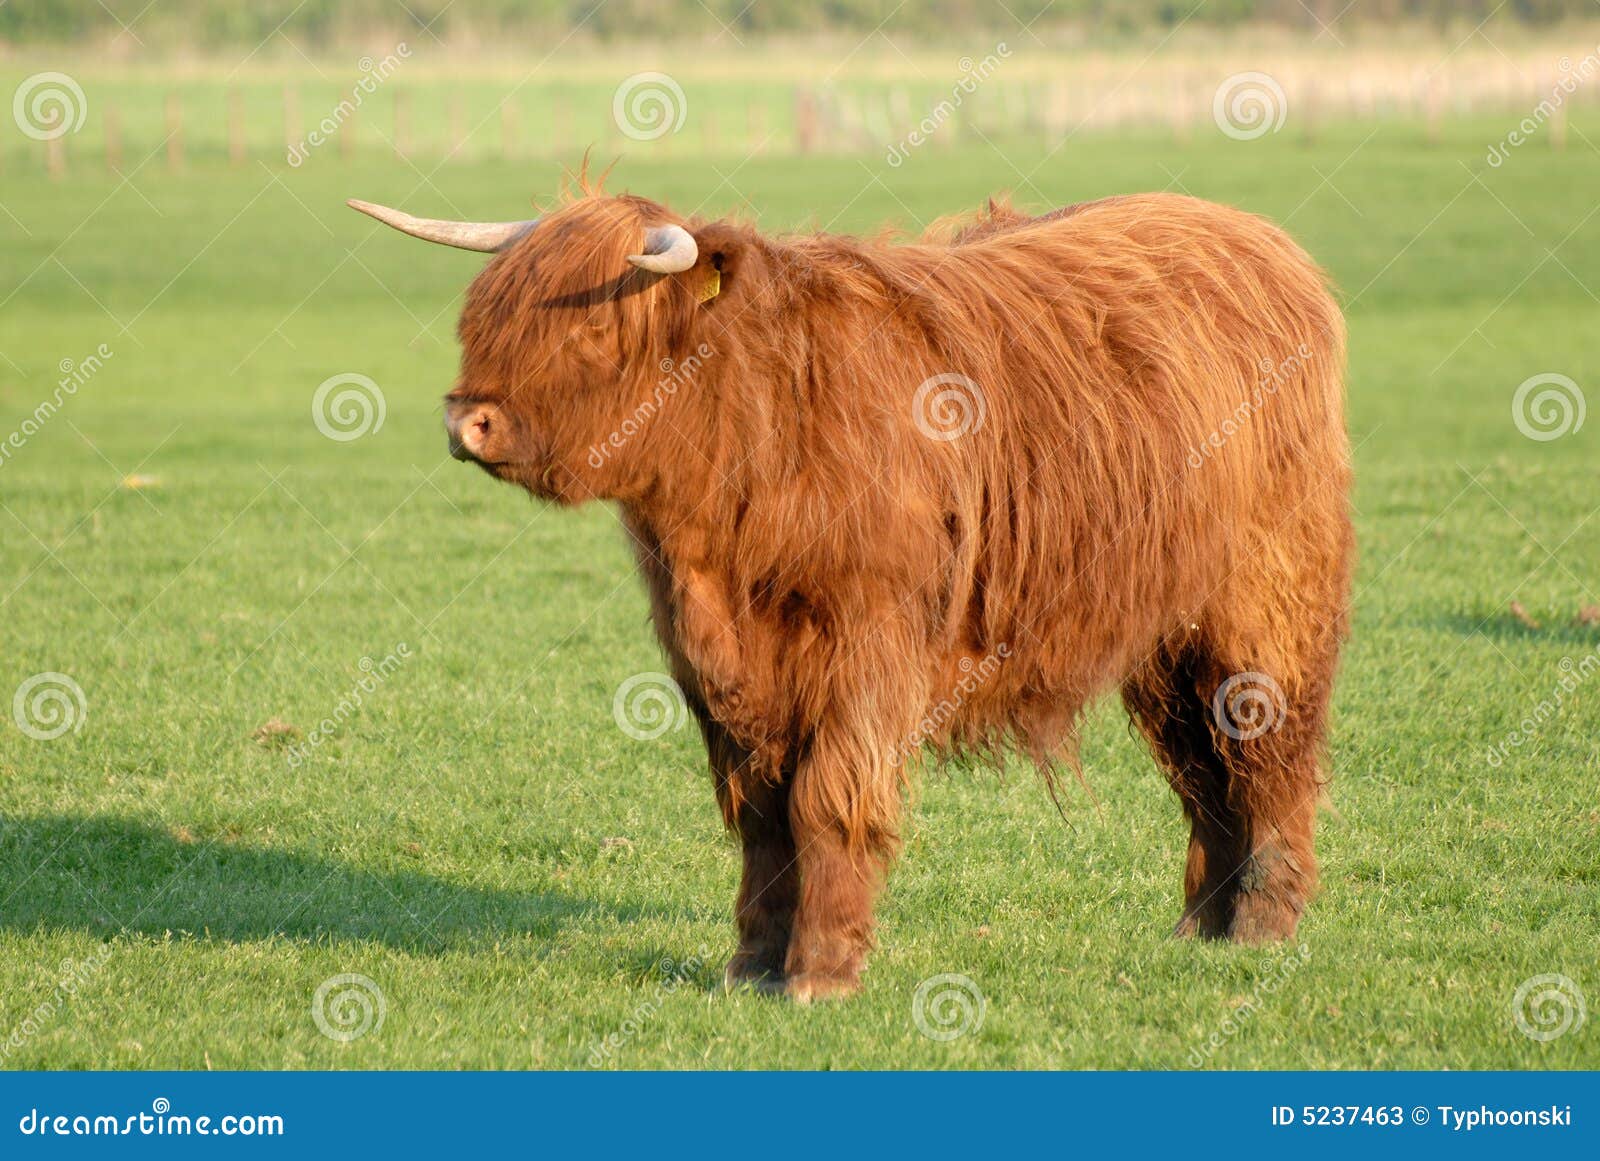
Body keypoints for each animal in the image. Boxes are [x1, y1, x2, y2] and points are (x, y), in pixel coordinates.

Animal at [350, 182, 1353, 1001]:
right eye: (486, 313)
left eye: (593, 327)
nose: (467, 420)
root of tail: (1259, 239)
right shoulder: (721, 666)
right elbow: (761, 814)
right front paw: (751, 963)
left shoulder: (867, 642)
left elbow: (825, 799)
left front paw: (820, 971)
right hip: (1161, 636)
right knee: (1202, 763)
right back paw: (1201, 929)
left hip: (1264, 604)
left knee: (1268, 748)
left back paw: (1263, 926)